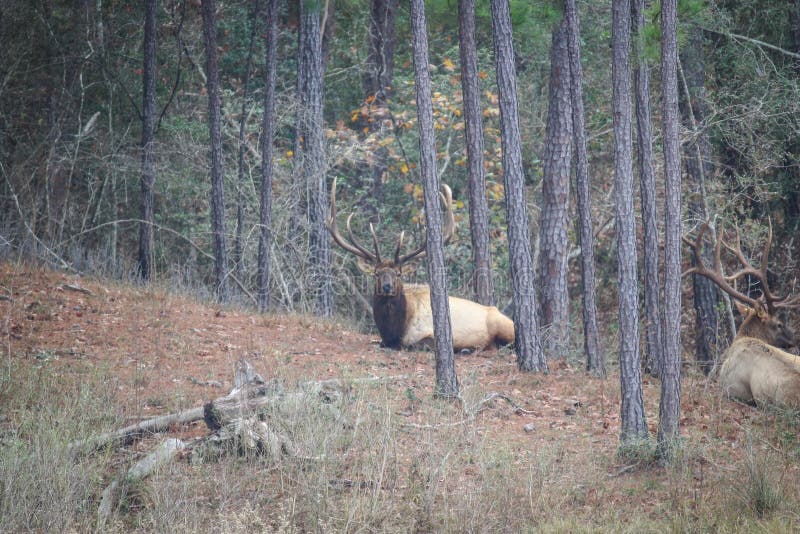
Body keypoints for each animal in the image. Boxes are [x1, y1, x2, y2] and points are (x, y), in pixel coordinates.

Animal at [326, 177, 515, 352]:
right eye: (376, 273)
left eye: (399, 273)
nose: (387, 287)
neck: (393, 331)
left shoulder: (428, 334)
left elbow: (414, 344)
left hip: (504, 326)